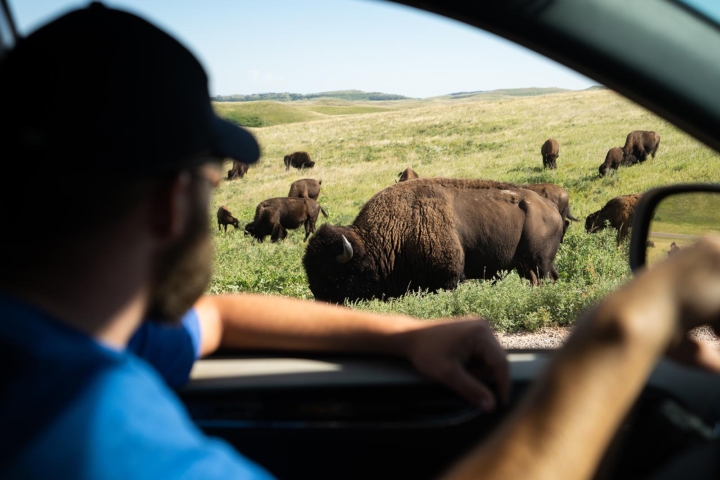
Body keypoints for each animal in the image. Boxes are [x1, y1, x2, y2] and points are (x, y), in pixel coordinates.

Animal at [303, 178, 564, 304]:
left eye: (331, 274)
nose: (319, 300)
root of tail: (551, 207)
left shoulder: (448, 278)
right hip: (525, 265)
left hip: (540, 262)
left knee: (547, 278)